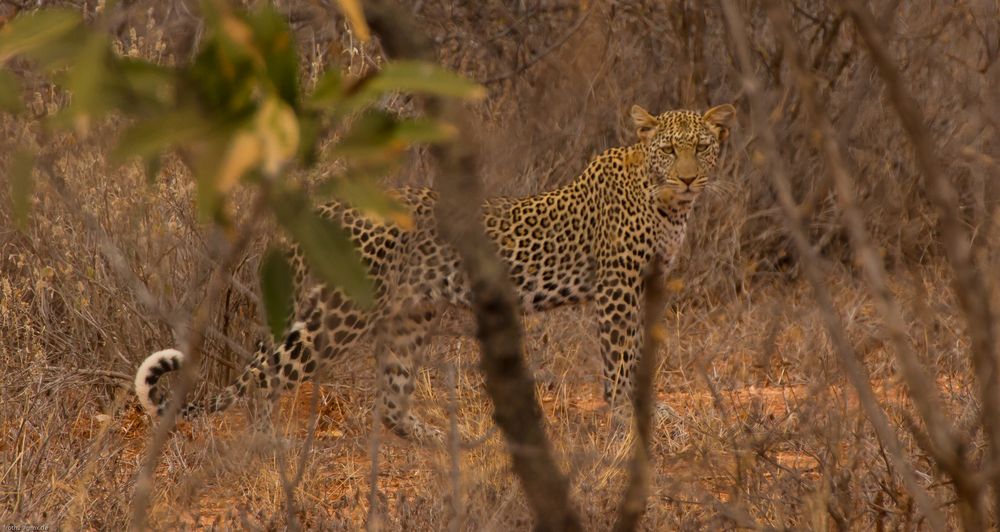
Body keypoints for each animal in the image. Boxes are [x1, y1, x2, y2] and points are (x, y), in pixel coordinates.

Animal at [135, 103, 736, 441]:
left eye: (703, 148)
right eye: (669, 150)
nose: (688, 178)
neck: (668, 205)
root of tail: (324, 209)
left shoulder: (648, 287)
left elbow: (638, 358)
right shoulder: (616, 290)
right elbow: (620, 362)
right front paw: (627, 426)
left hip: (408, 314)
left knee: (386, 399)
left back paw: (435, 436)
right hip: (339, 314)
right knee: (265, 379)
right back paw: (267, 452)